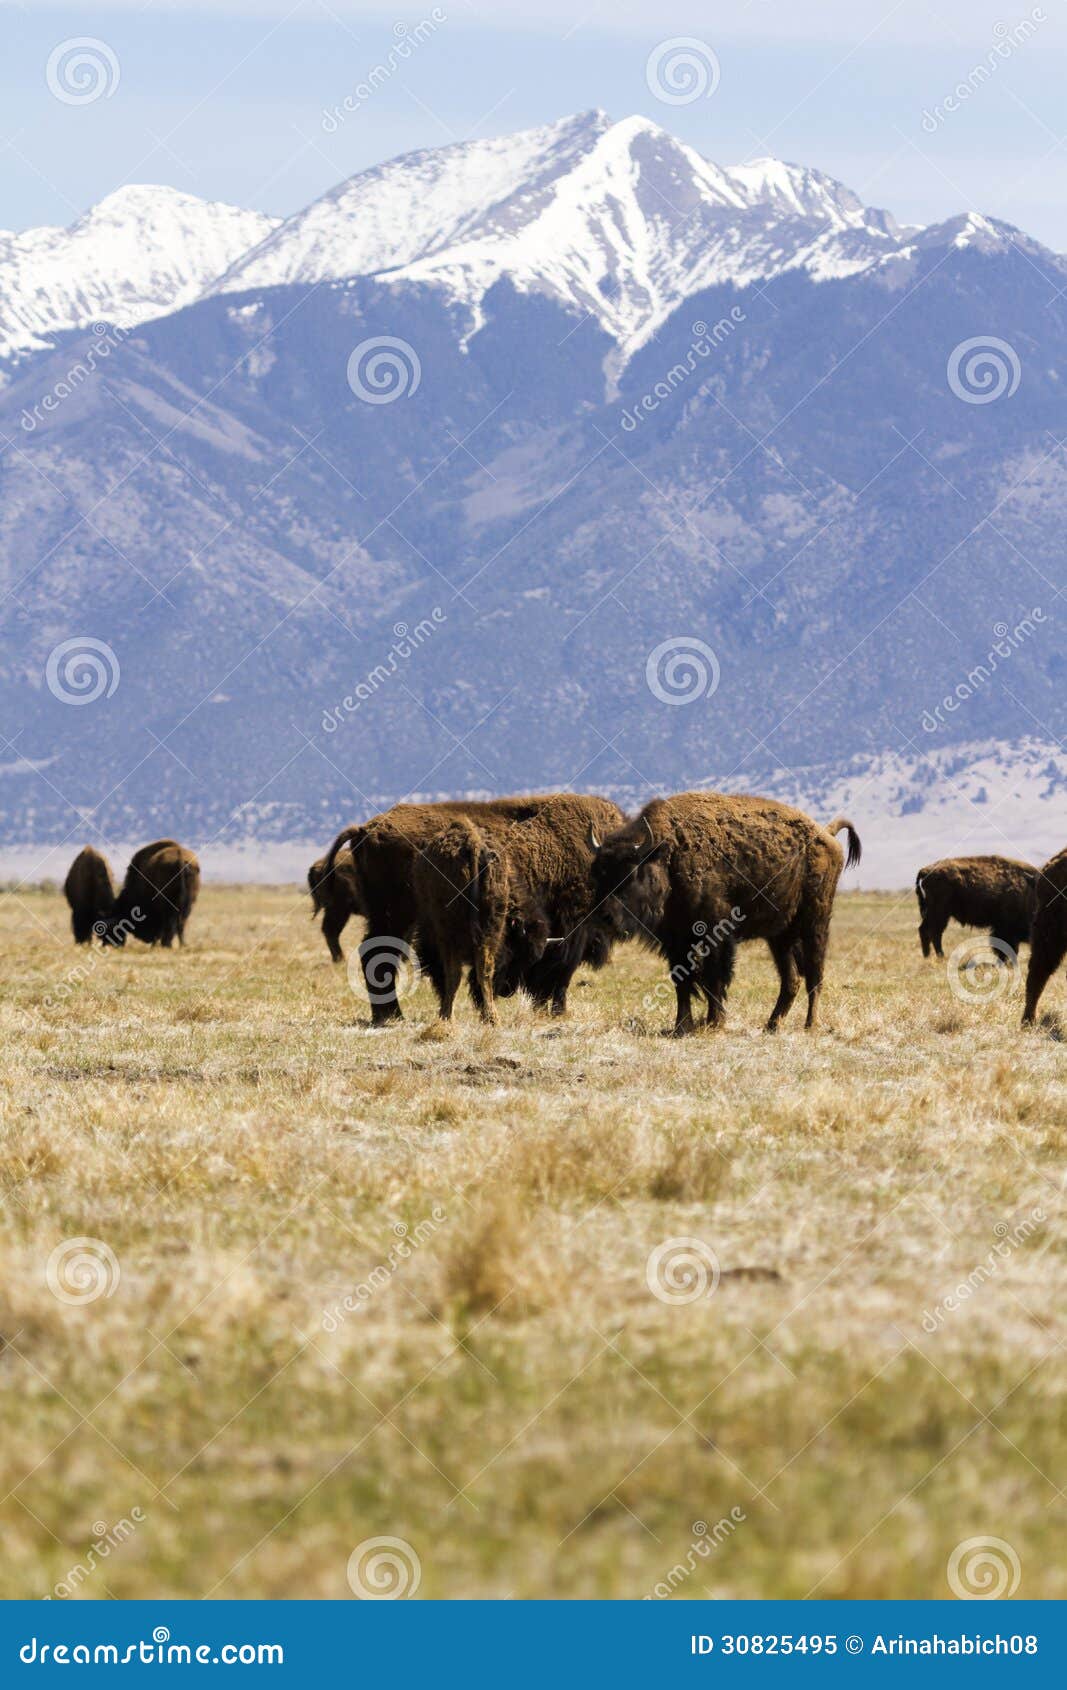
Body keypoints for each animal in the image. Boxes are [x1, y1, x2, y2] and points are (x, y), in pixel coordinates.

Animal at [588, 793, 861, 1035]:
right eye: (598, 873)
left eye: (630, 873)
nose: (605, 916)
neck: (669, 856)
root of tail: (826, 834)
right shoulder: (676, 941)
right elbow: (683, 983)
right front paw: (681, 1026)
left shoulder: (715, 935)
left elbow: (714, 979)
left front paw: (713, 1023)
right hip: (780, 936)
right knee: (791, 979)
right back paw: (771, 1025)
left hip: (816, 923)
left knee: (815, 974)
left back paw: (810, 1025)